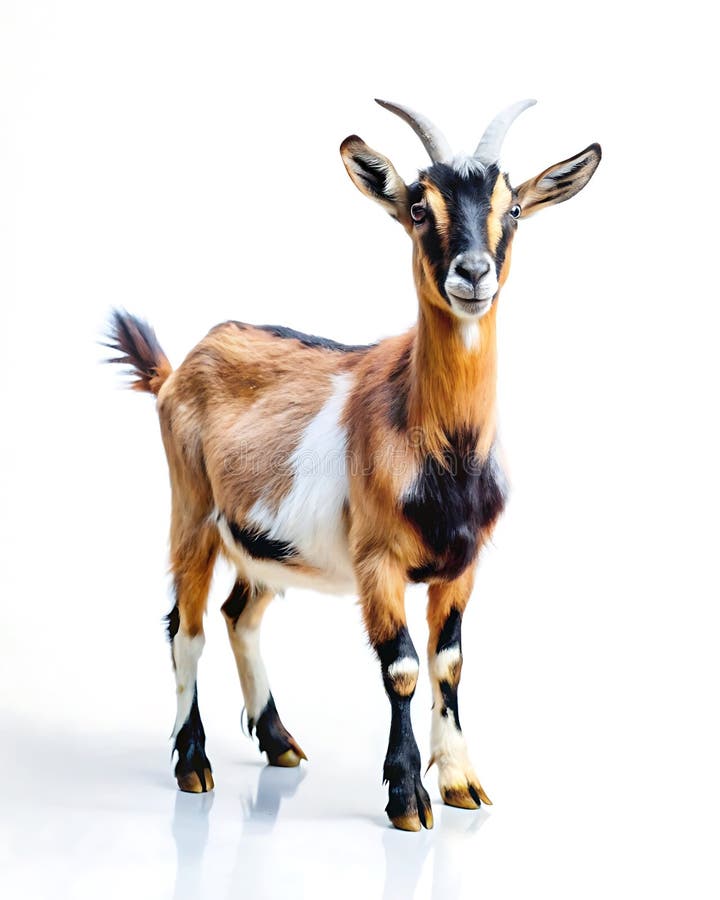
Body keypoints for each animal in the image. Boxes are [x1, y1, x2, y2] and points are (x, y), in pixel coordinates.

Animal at [106, 99, 601, 831]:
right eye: (419, 208)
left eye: (511, 208)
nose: (473, 273)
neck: (441, 444)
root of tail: (174, 371)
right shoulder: (378, 560)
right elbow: (402, 669)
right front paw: (407, 797)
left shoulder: (462, 565)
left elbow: (449, 664)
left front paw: (461, 782)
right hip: (192, 514)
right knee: (185, 629)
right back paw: (193, 764)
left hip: (268, 545)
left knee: (238, 614)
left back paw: (279, 742)